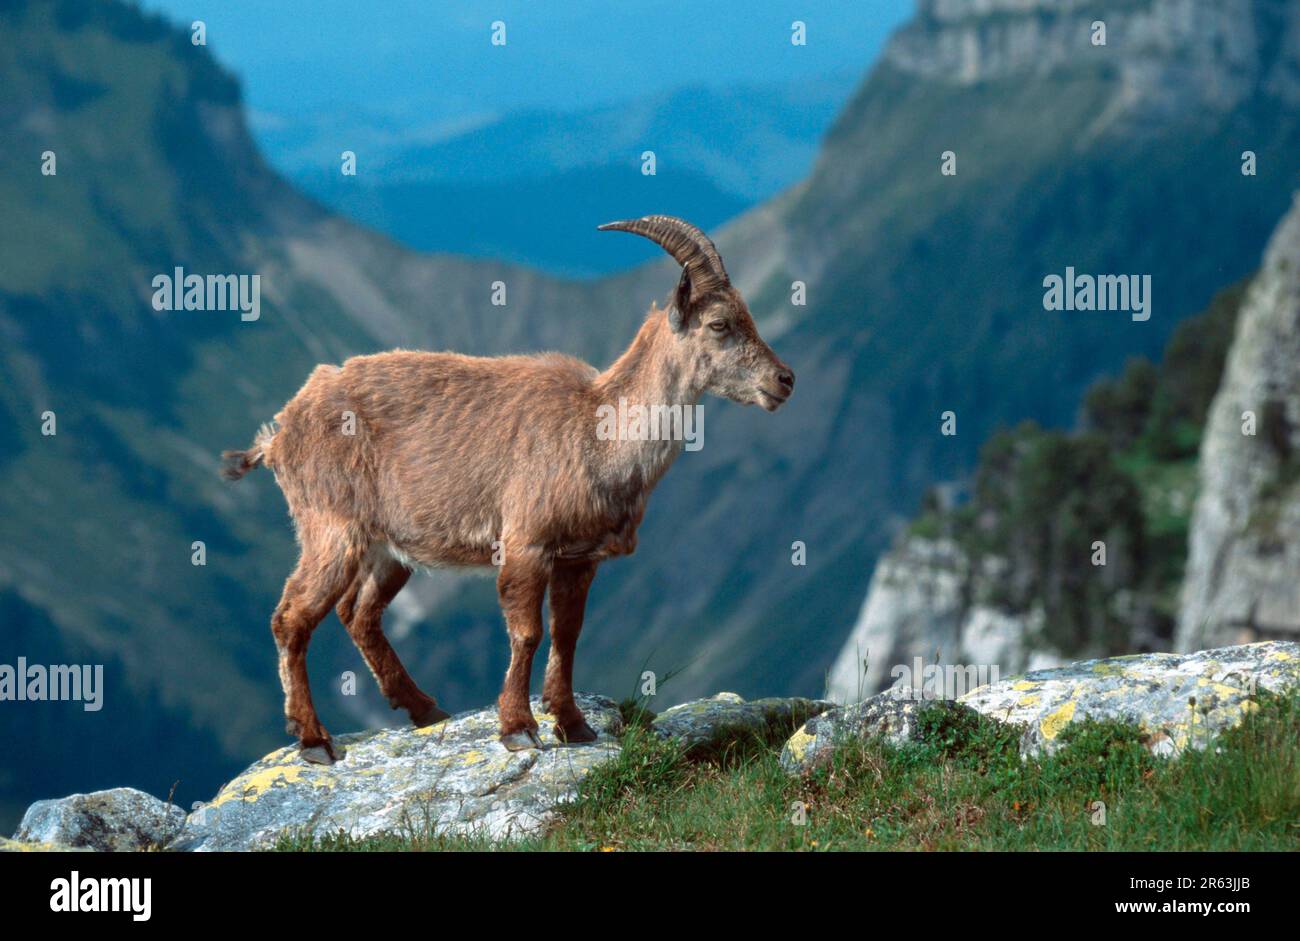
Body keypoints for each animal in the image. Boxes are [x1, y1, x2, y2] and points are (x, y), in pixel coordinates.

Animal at [222, 215, 795, 761]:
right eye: (720, 324)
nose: (784, 380)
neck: (599, 432)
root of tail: (280, 431)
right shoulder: (526, 543)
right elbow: (527, 632)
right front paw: (518, 728)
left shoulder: (577, 559)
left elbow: (568, 634)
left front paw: (573, 724)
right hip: (331, 528)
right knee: (291, 617)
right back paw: (313, 739)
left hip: (390, 549)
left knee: (357, 613)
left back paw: (423, 708)